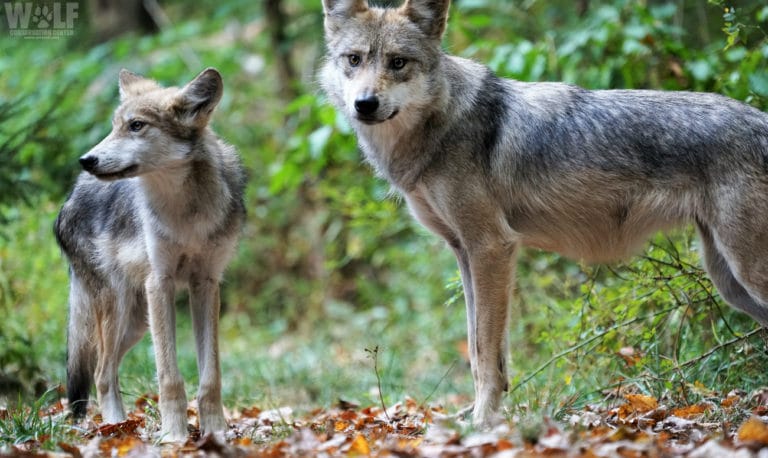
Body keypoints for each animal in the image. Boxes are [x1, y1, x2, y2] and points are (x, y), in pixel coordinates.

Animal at [54, 68, 245, 442]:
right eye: (115, 126)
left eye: (136, 126)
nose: (87, 159)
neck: (187, 214)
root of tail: (71, 196)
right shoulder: (161, 283)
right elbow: (169, 377)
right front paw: (175, 437)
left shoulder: (206, 285)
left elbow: (210, 378)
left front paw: (215, 434)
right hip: (118, 308)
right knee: (101, 374)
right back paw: (116, 428)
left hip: (136, 323)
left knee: (105, 370)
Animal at [320, 0, 768, 427]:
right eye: (354, 59)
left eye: (398, 62)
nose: (365, 104)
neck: (440, 124)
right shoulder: (465, 252)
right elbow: (480, 351)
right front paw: (475, 418)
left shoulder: (492, 248)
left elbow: (484, 351)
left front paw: (481, 423)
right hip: (728, 280)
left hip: (744, 272)